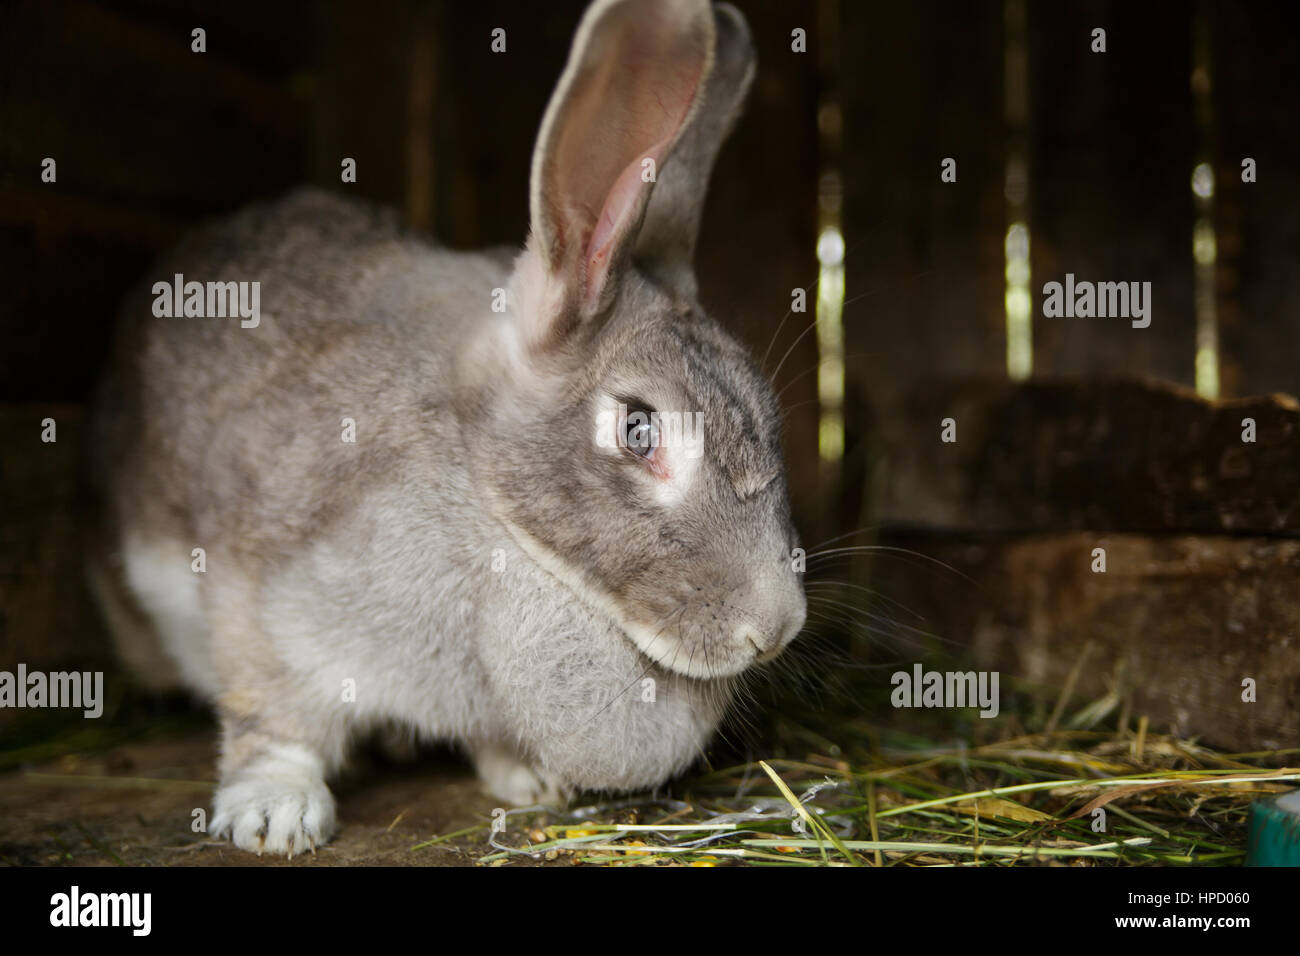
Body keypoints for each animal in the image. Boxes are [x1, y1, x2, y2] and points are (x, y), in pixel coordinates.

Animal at [86, 0, 806, 857]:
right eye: (638, 430)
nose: (776, 628)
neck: (487, 499)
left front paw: (531, 780)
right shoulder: (257, 594)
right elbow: (275, 714)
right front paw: (273, 815)